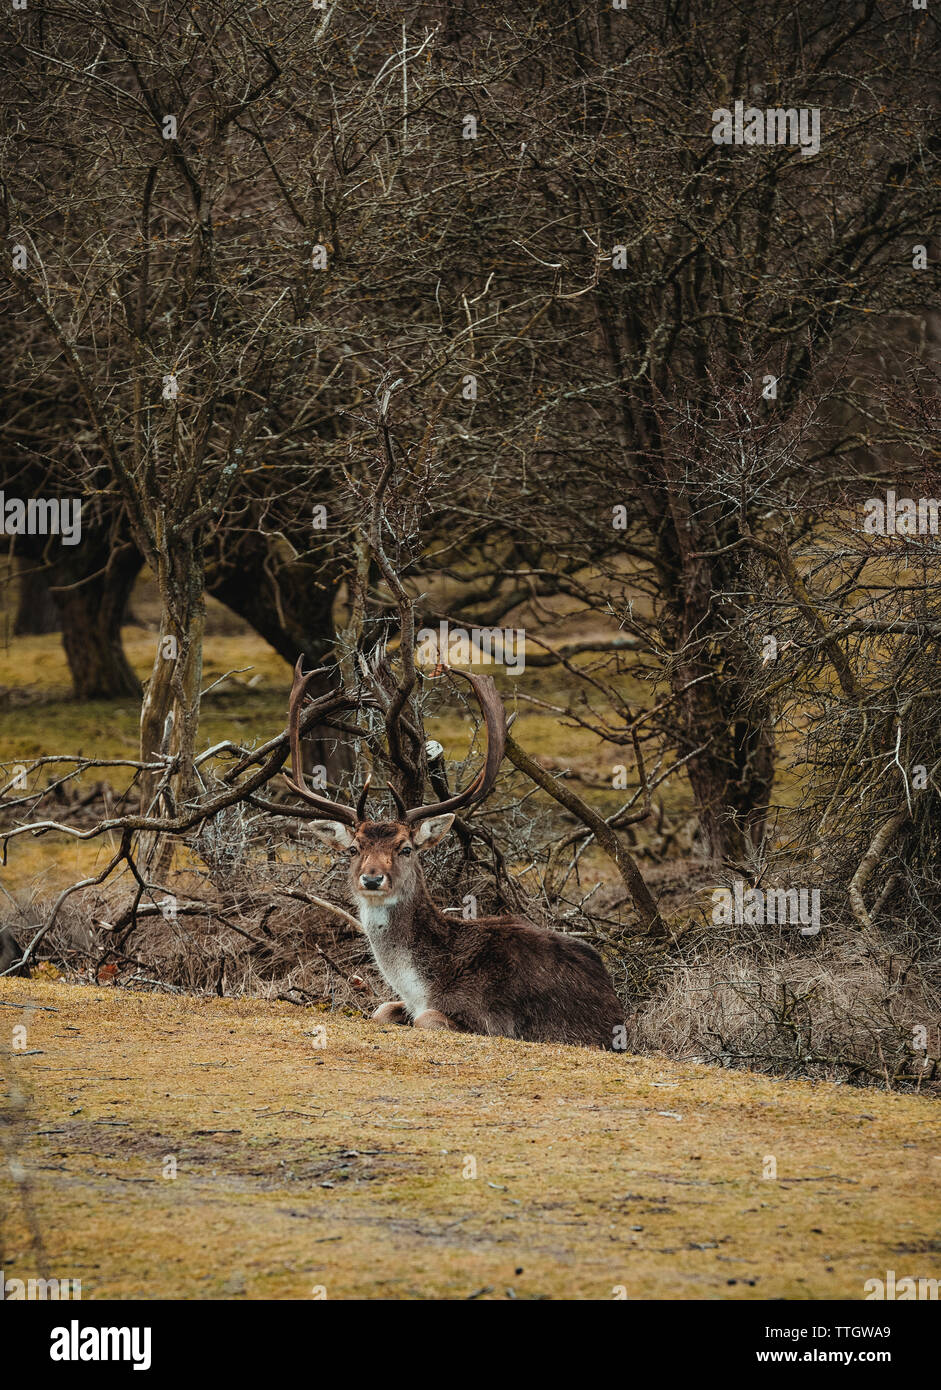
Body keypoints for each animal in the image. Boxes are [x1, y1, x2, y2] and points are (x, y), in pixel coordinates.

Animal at [285, 658, 625, 1050]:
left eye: (406, 848)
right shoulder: (399, 1004)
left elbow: (425, 1019)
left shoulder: (490, 1019)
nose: (371, 878)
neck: (423, 986)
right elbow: (380, 1009)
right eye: (355, 848)